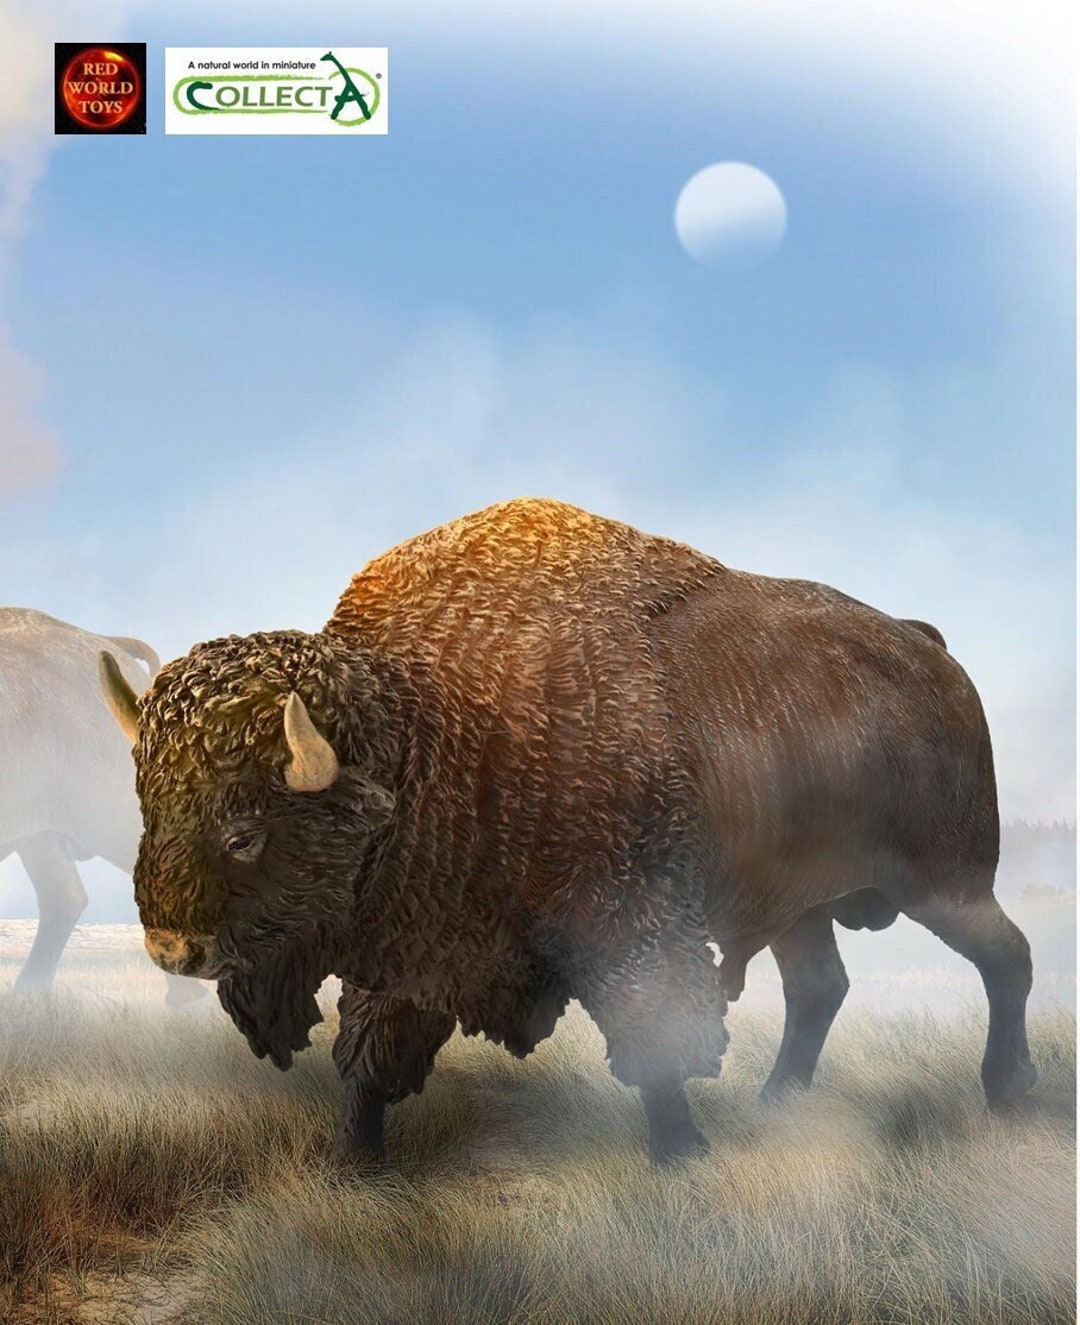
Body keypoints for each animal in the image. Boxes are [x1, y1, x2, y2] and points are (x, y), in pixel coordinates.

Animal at [99, 499, 1036, 1163]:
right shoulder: (416, 942)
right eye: (150, 804)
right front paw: (349, 1160)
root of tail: (930, 648)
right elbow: (372, 1050)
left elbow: (657, 1036)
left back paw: (1009, 1090)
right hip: (800, 904)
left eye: (247, 828)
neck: (430, 726)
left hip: (944, 882)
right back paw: (778, 1102)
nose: (171, 948)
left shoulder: (629, 925)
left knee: (1006, 955)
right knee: (821, 988)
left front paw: (681, 1155)